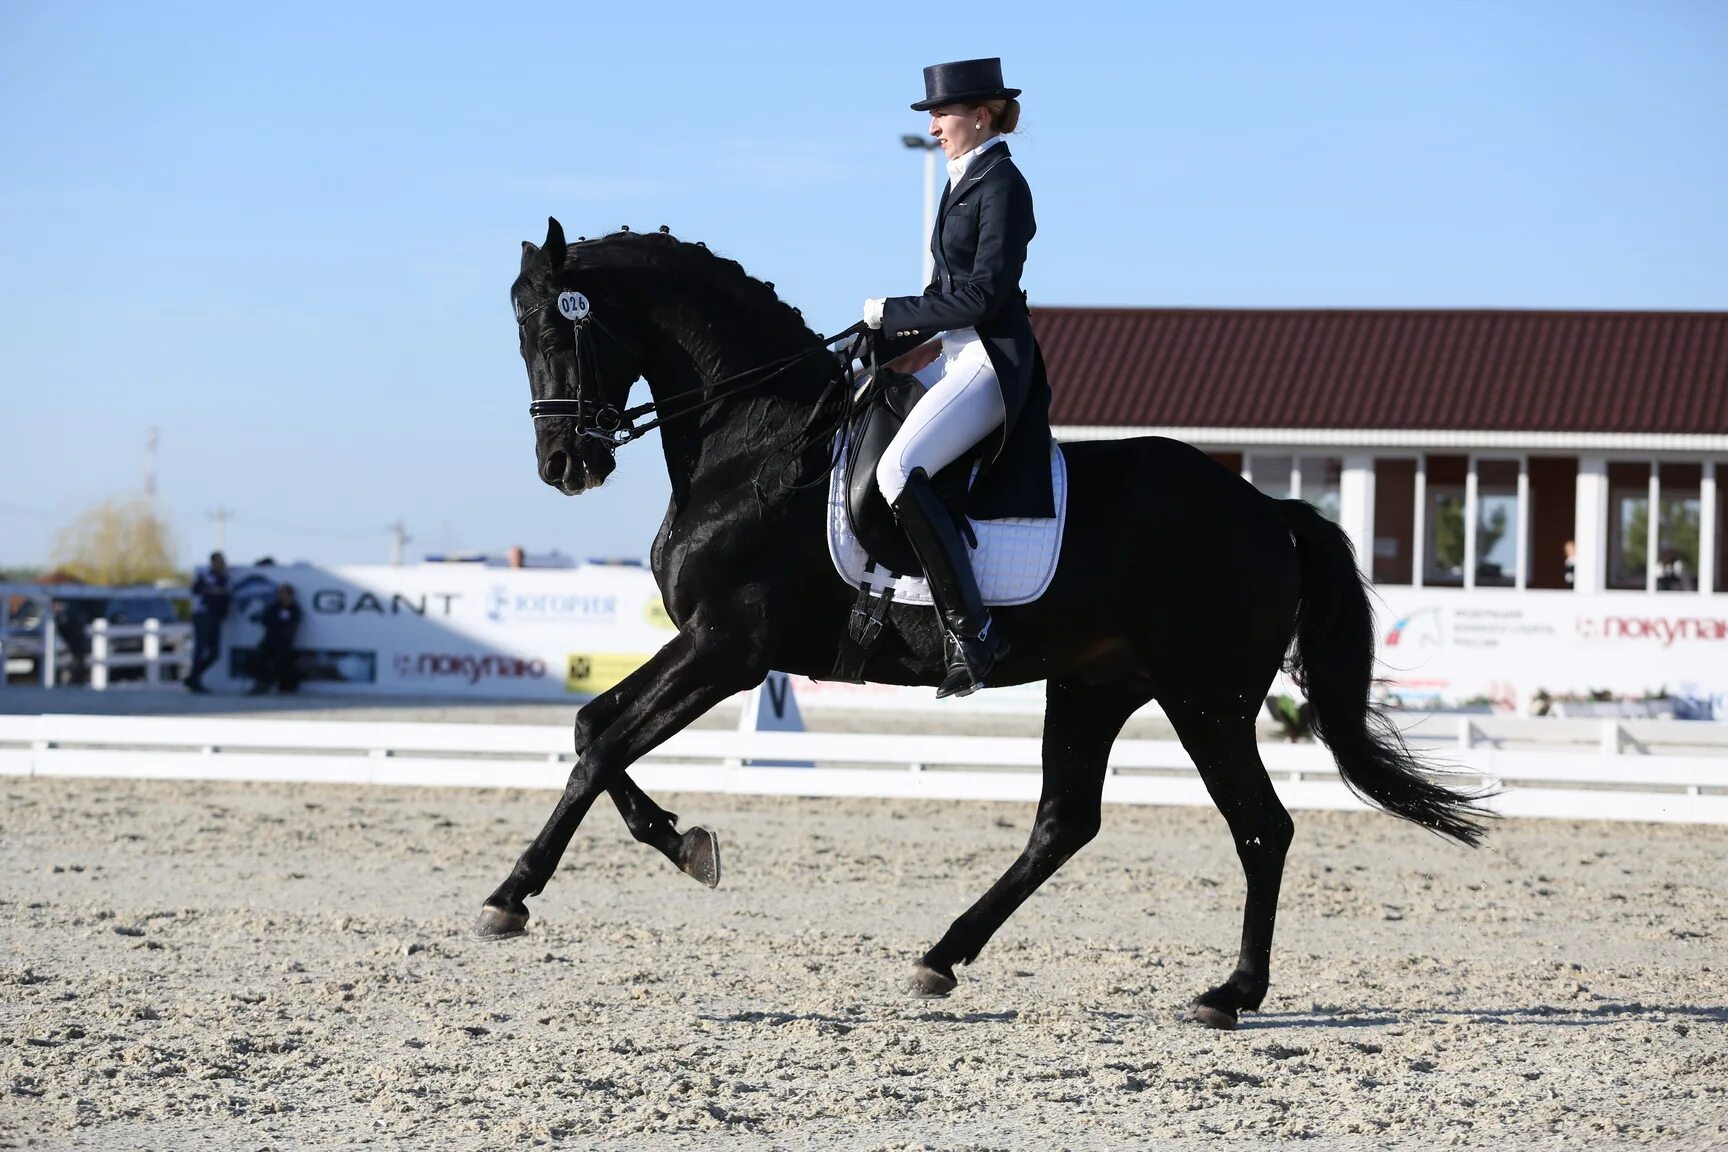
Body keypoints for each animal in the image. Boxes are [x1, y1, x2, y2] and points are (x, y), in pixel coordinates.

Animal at [483, 221, 1486, 1029]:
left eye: (555, 329)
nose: (565, 465)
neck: (756, 446)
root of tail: (1268, 509)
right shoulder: (708, 646)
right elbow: (591, 729)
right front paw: (683, 842)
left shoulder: (728, 648)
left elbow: (606, 742)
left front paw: (513, 896)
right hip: (1096, 685)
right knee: (1064, 823)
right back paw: (940, 957)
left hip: (1207, 699)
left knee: (1260, 829)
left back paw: (1228, 994)